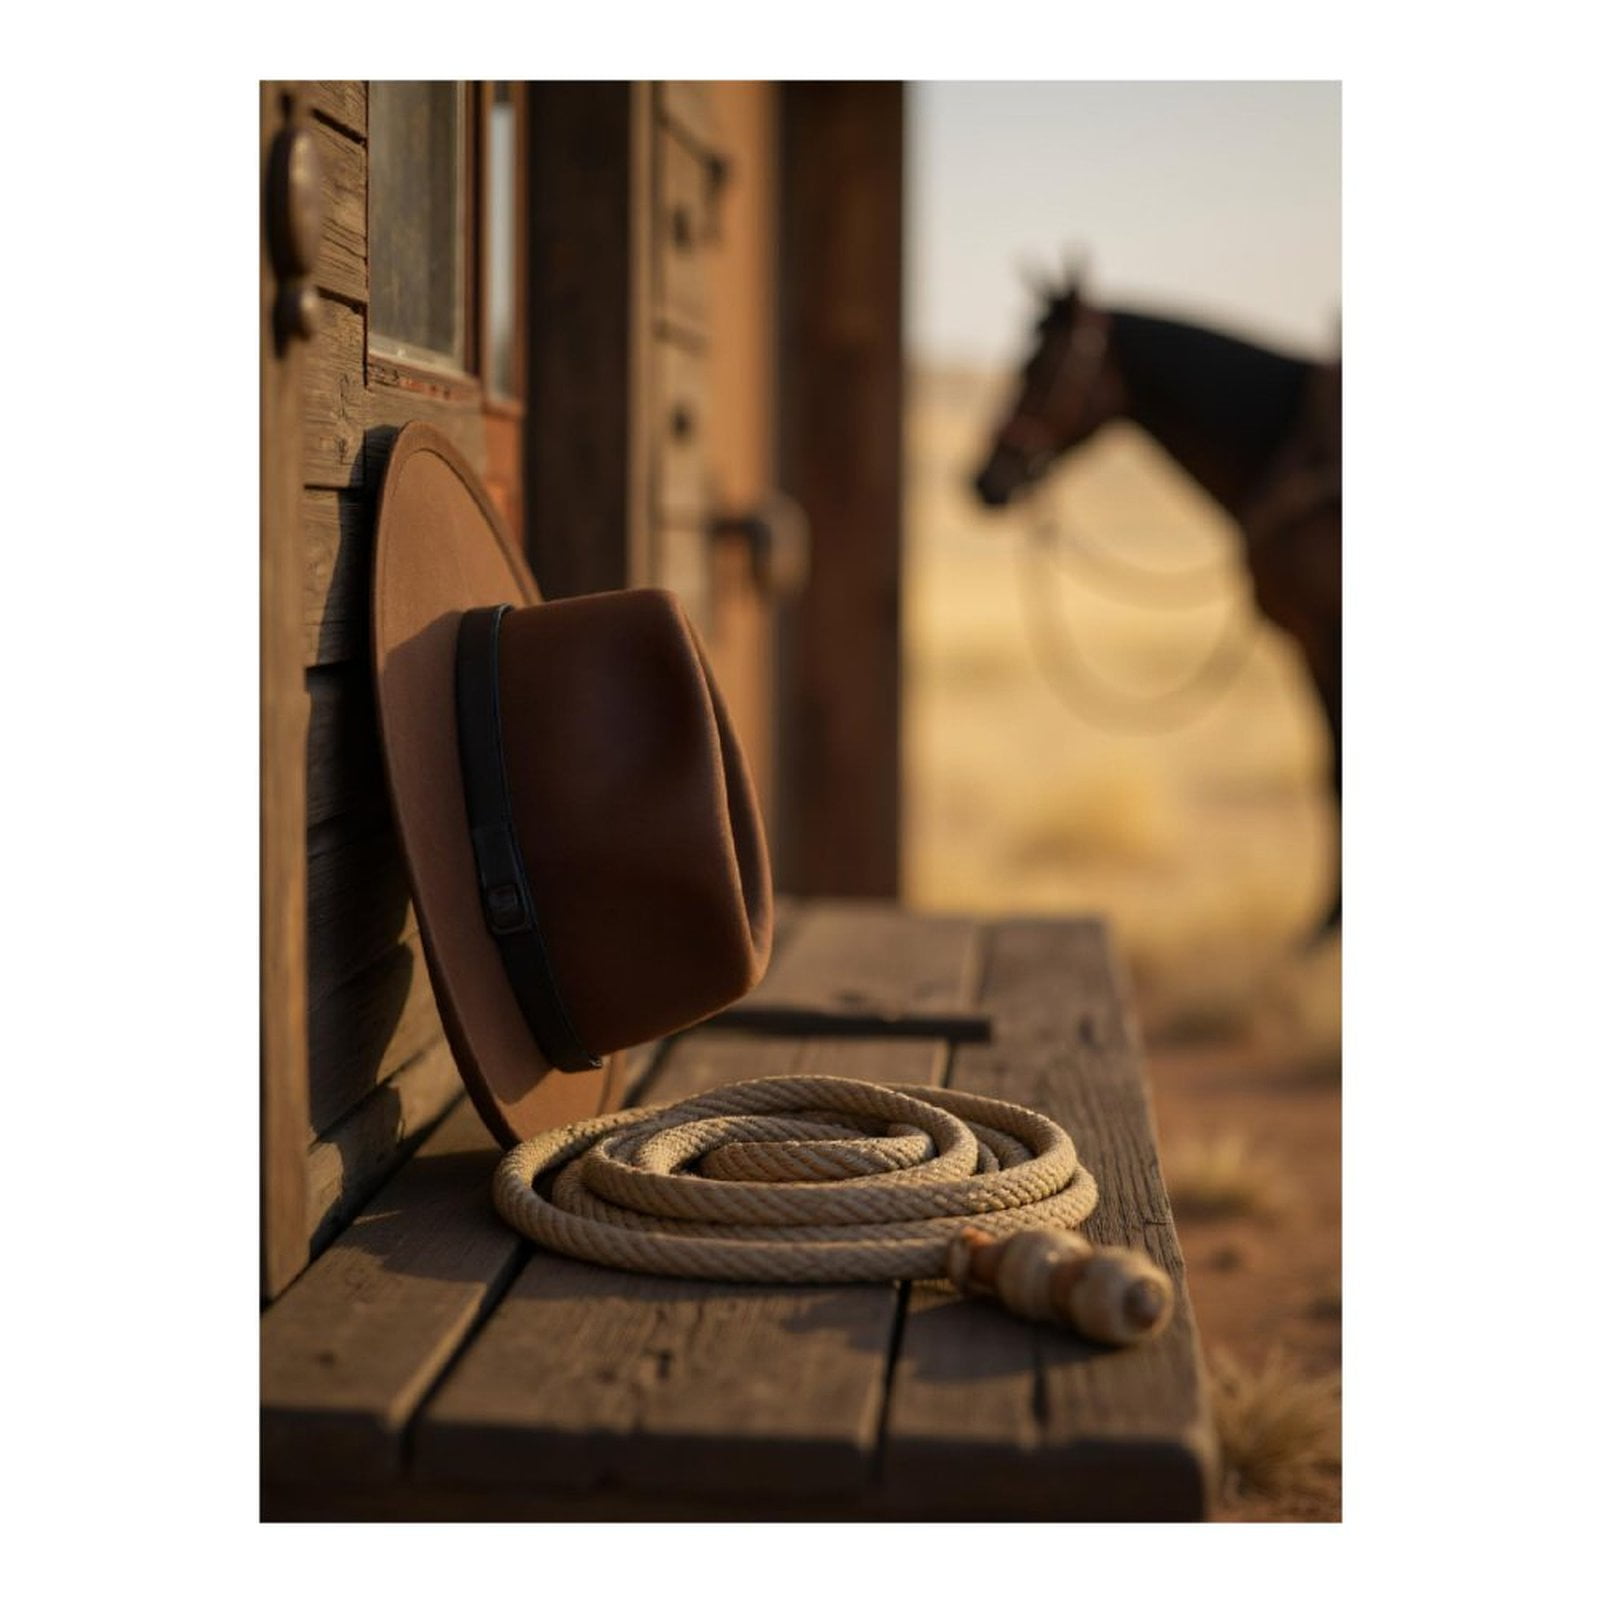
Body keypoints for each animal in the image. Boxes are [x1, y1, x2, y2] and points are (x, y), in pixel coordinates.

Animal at [973, 271, 1342, 931]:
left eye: (1039, 365)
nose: (983, 479)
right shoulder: (1309, 644)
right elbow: (1333, 772)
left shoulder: (1324, 637)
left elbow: (1338, 772)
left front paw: (1326, 924)